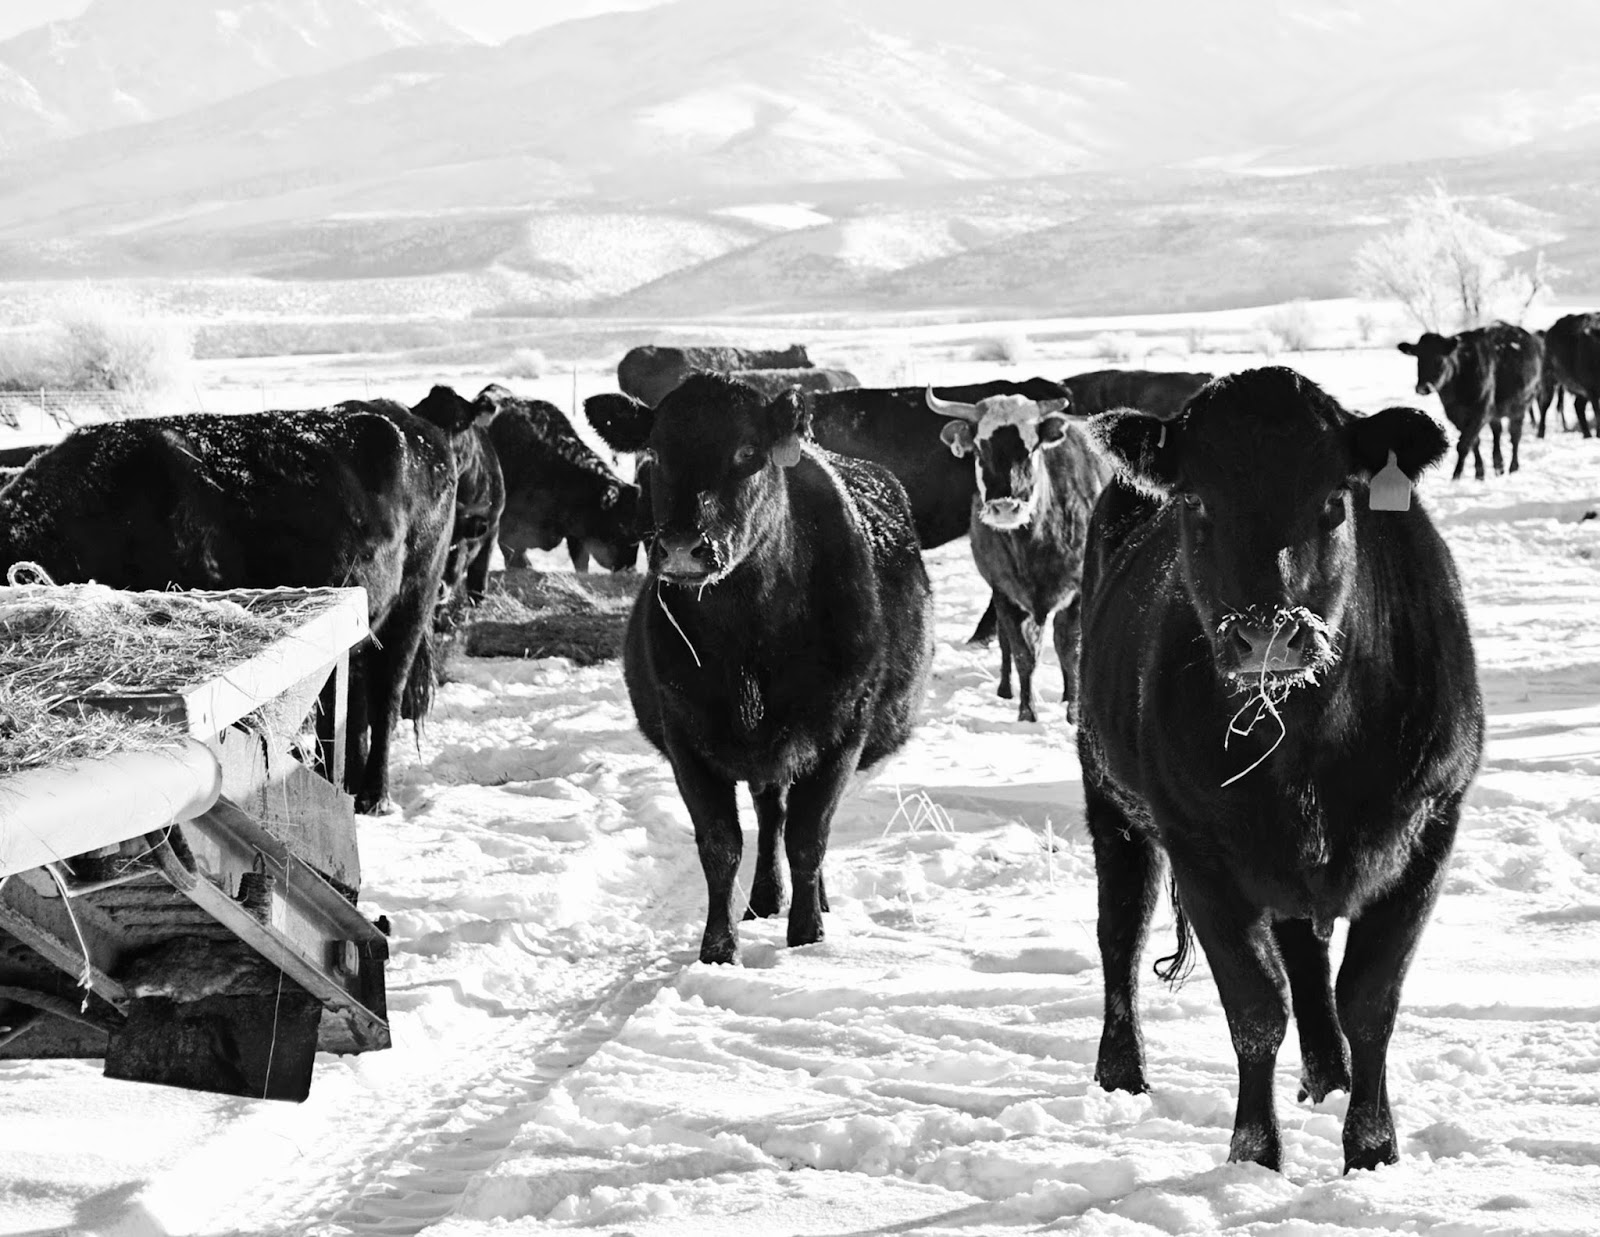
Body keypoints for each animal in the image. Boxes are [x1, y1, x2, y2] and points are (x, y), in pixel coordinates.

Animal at [0, 386, 484, 815]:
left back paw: (374, 798)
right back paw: (342, 783)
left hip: (414, 604)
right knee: (353, 698)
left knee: (386, 697)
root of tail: (412, 421)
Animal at [585, 374, 934, 965]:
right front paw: (719, 946)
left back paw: (813, 901)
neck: (747, 642)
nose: (683, 547)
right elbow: (721, 844)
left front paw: (808, 934)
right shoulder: (686, 734)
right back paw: (765, 898)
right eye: (656, 452)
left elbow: (810, 837)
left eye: (747, 451)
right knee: (771, 813)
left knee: (796, 822)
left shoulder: (844, 729)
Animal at [924, 387, 1111, 722]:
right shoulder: (1005, 593)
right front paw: (1027, 713)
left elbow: (1070, 648)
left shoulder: (1077, 591)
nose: (1005, 507)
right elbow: (1023, 651)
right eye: (979, 450)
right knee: (1004, 641)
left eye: (1031, 448)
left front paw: (1073, 712)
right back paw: (1005, 689)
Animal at [1077, 366, 1483, 1176]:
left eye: (1334, 500)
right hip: (1108, 795)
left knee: (1305, 948)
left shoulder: (1433, 826)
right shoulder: (1199, 849)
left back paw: (1329, 1075)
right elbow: (1256, 1007)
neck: (1308, 746)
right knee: (1120, 930)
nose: (1268, 633)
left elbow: (1369, 998)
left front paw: (1372, 1150)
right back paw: (1121, 1072)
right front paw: (1254, 1156)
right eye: (1195, 502)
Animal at [1398, 322, 1541, 479]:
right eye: (1418, 359)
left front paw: (1456, 476)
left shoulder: (1480, 411)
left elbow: (1464, 444)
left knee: (1515, 435)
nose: (1423, 388)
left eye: (1439, 360)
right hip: (1496, 412)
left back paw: (1513, 467)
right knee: (1497, 432)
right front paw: (1479, 472)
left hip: (1521, 406)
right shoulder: (1456, 414)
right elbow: (1474, 442)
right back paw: (1498, 465)